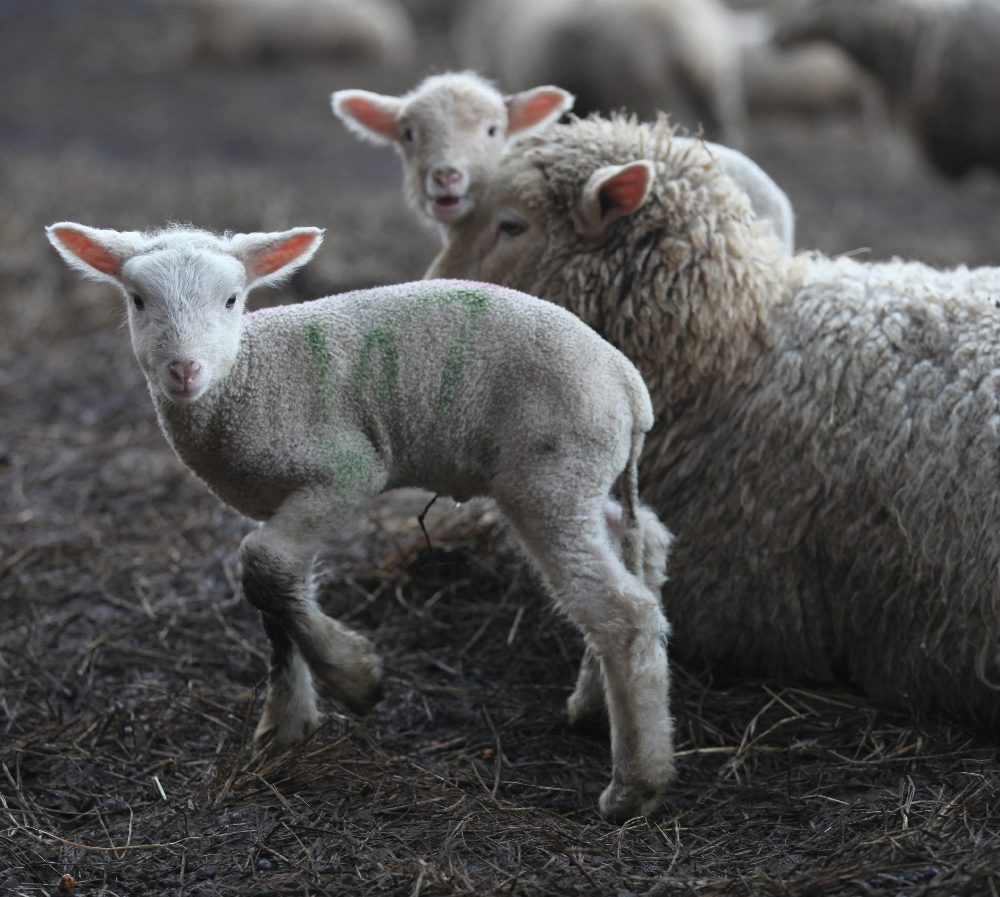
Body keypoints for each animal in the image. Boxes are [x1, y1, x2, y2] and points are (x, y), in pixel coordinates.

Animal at [46, 221, 675, 821]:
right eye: (137, 300)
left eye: (231, 300)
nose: (183, 370)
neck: (248, 379)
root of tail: (630, 389)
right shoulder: (290, 500)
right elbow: (278, 595)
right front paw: (288, 723)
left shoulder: (345, 470)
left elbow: (262, 564)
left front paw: (354, 678)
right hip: (578, 477)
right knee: (643, 542)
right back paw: (595, 707)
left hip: (551, 472)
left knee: (623, 611)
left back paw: (635, 786)